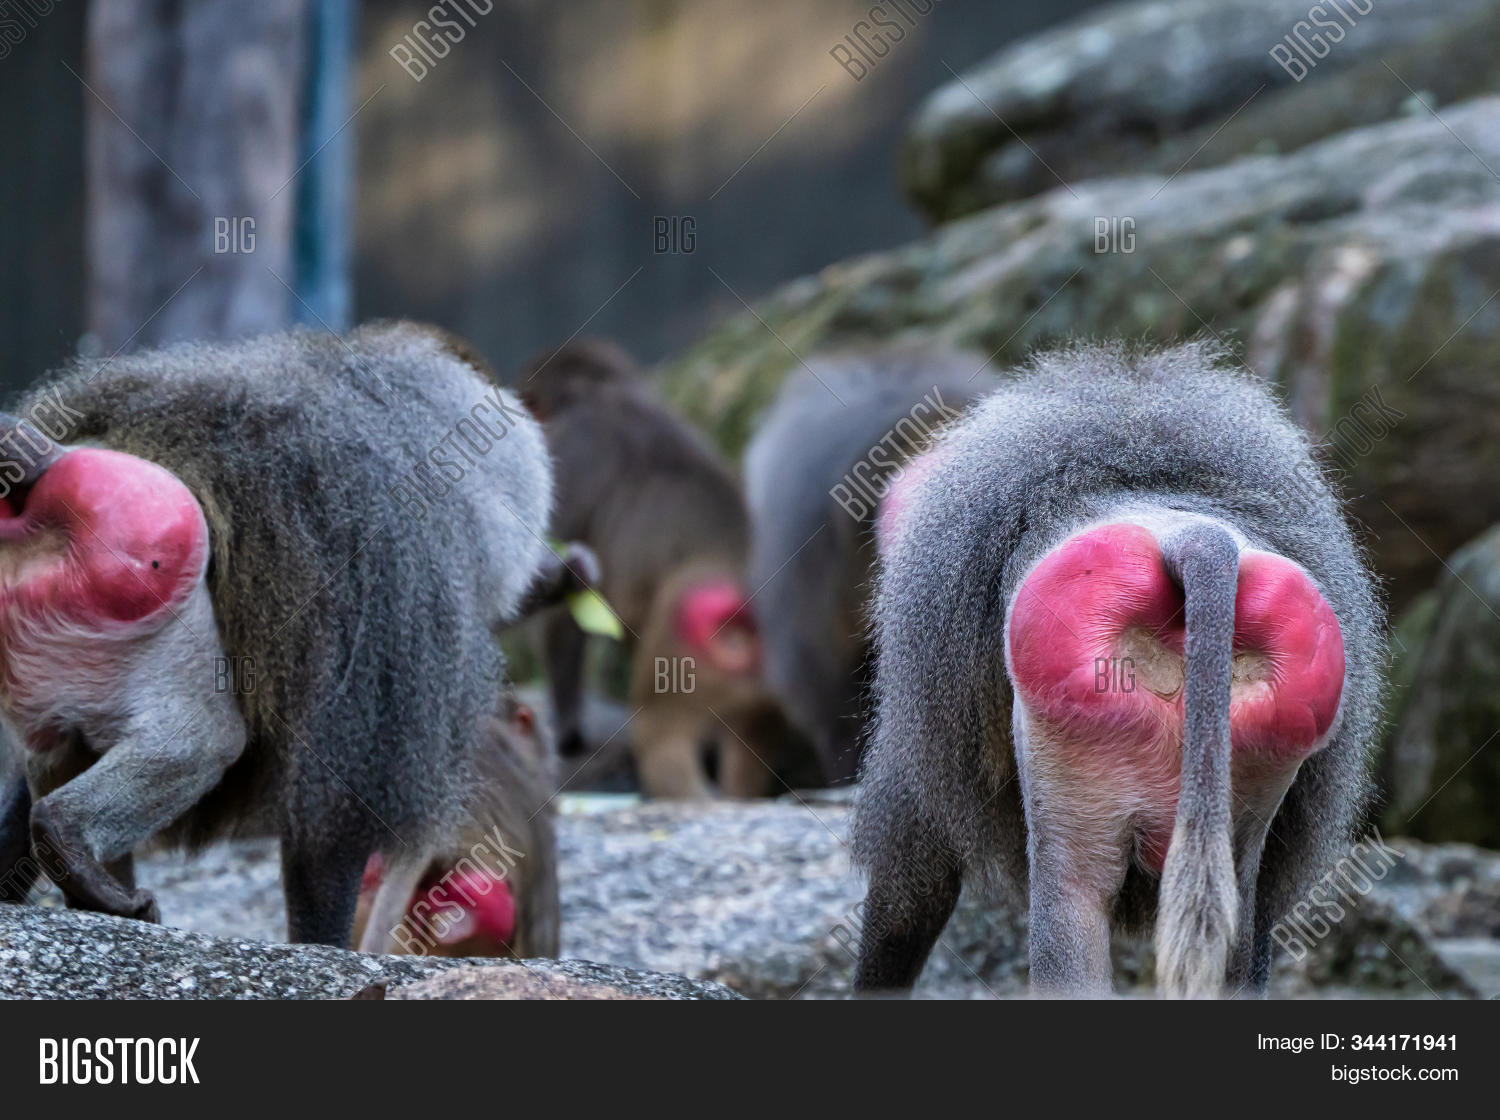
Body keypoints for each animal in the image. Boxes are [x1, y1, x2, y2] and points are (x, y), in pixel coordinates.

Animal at [517, 339, 816, 800]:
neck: (607, 394)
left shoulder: (572, 450)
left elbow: (563, 608)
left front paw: (566, 735)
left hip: (684, 641)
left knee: (662, 731)